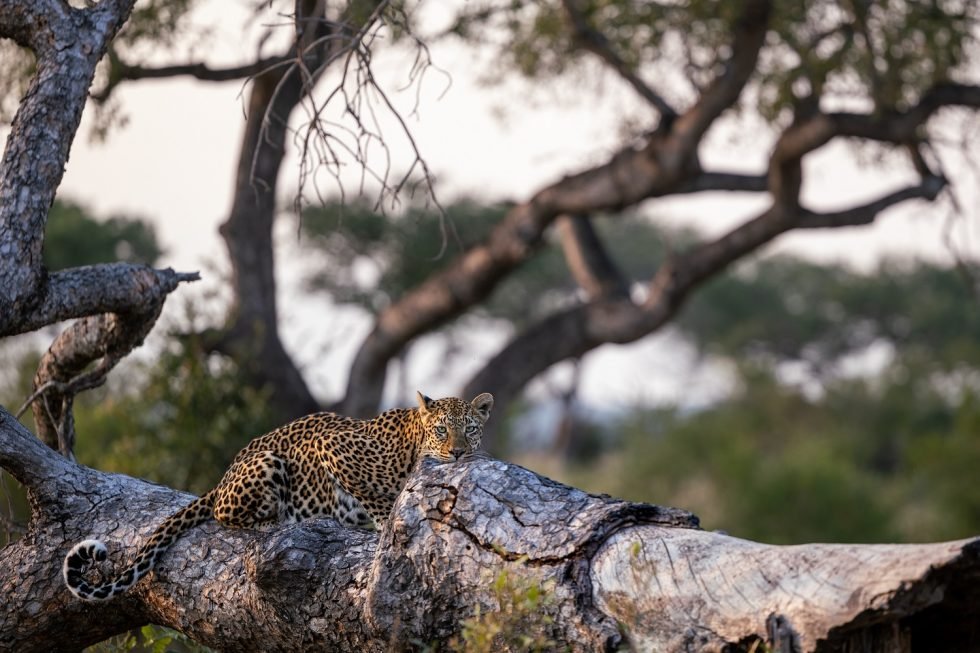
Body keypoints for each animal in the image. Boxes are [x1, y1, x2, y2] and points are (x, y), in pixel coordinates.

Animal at [63, 391, 493, 601]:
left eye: (470, 429)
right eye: (441, 430)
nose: (458, 452)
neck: (411, 447)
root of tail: (225, 473)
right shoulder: (333, 445)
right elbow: (373, 496)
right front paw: (386, 521)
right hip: (269, 463)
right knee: (223, 513)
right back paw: (273, 520)